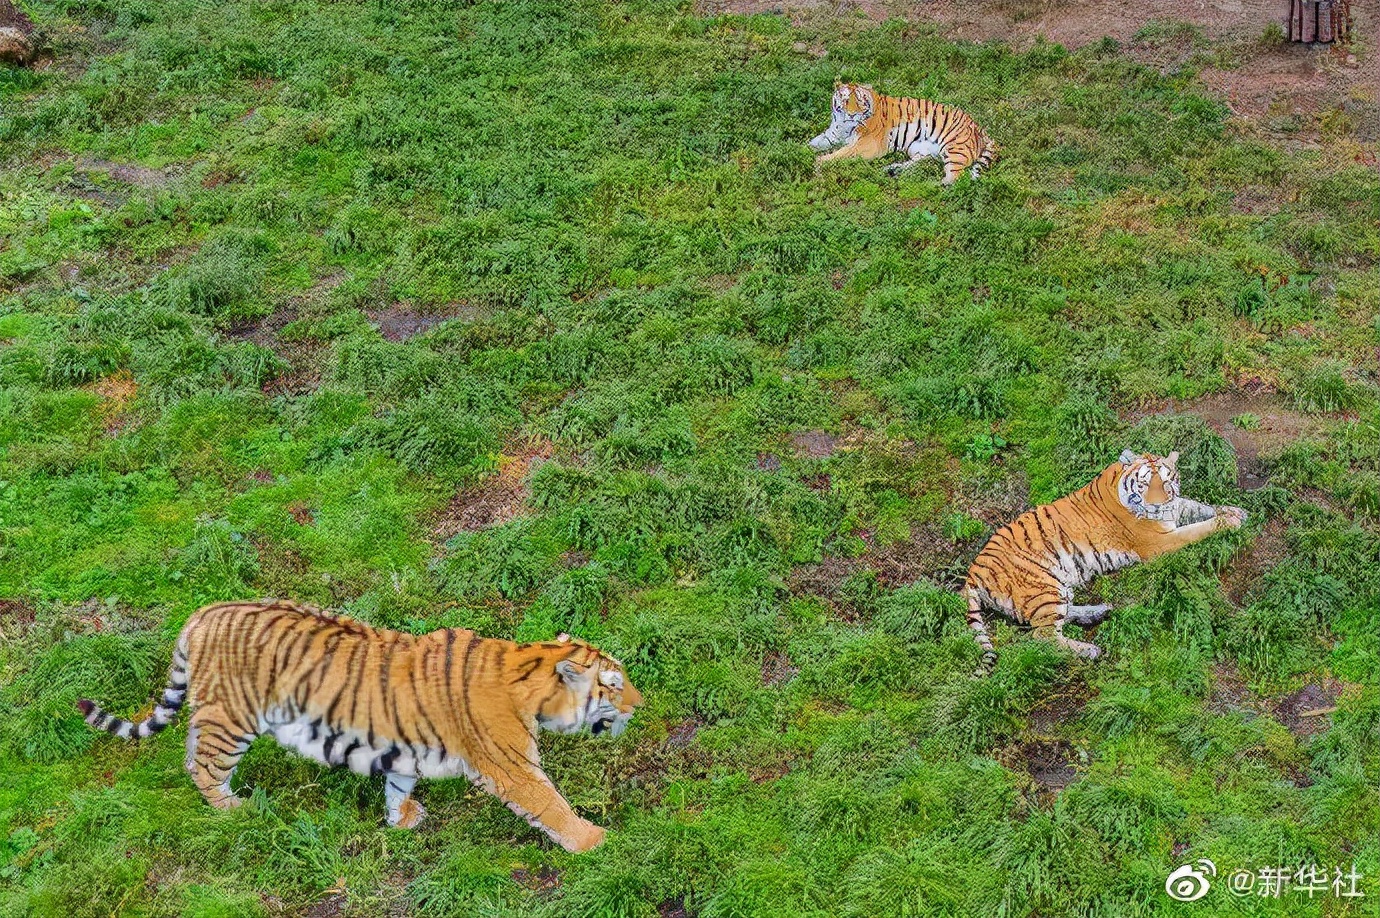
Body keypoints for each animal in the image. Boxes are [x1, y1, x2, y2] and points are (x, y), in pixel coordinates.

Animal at [77, 600, 643, 853]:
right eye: (614, 685)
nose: (639, 705)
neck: (526, 670)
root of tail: (203, 612)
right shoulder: (511, 766)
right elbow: (550, 804)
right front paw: (596, 841)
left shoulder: (406, 747)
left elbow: (398, 782)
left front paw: (402, 819)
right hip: (232, 720)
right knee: (204, 767)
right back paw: (236, 811)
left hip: (213, 712)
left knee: (191, 751)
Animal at [808, 83, 999, 184]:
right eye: (846, 100)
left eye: (861, 102)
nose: (853, 114)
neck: (843, 125)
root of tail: (980, 129)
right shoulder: (832, 135)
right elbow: (812, 144)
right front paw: (802, 152)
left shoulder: (868, 145)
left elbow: (838, 154)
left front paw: (817, 164)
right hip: (920, 148)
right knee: (923, 161)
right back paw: (893, 170)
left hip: (954, 149)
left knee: (954, 178)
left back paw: (934, 185)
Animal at [966, 450, 1247, 676]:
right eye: (1145, 484)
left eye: (1166, 481)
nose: (1156, 506)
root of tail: (973, 571)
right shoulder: (1160, 542)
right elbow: (1198, 528)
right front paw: (1230, 520)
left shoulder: (1175, 507)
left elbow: (1196, 505)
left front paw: (1235, 510)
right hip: (1042, 585)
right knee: (1041, 636)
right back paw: (1089, 649)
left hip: (1058, 585)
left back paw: (1097, 612)